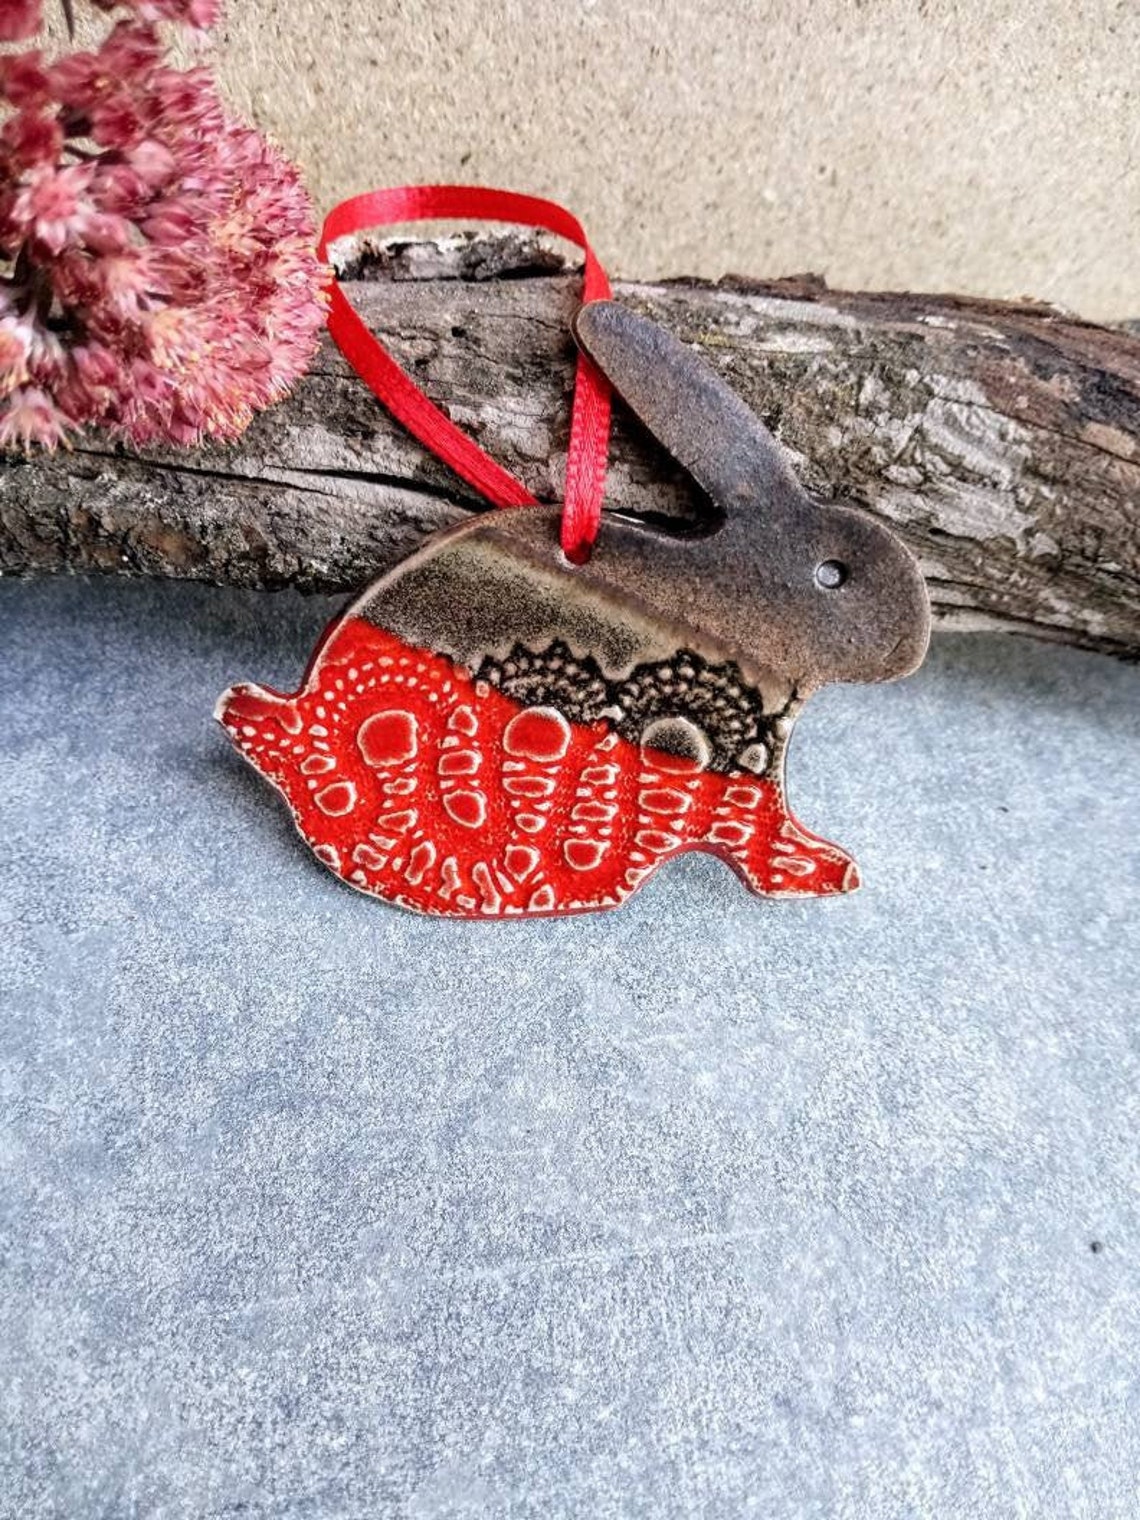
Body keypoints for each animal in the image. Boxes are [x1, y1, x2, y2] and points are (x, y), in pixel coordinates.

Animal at [216, 300, 930, 918]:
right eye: (835, 574)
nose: (914, 643)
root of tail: (291, 716)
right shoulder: (755, 769)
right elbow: (760, 839)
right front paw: (825, 870)